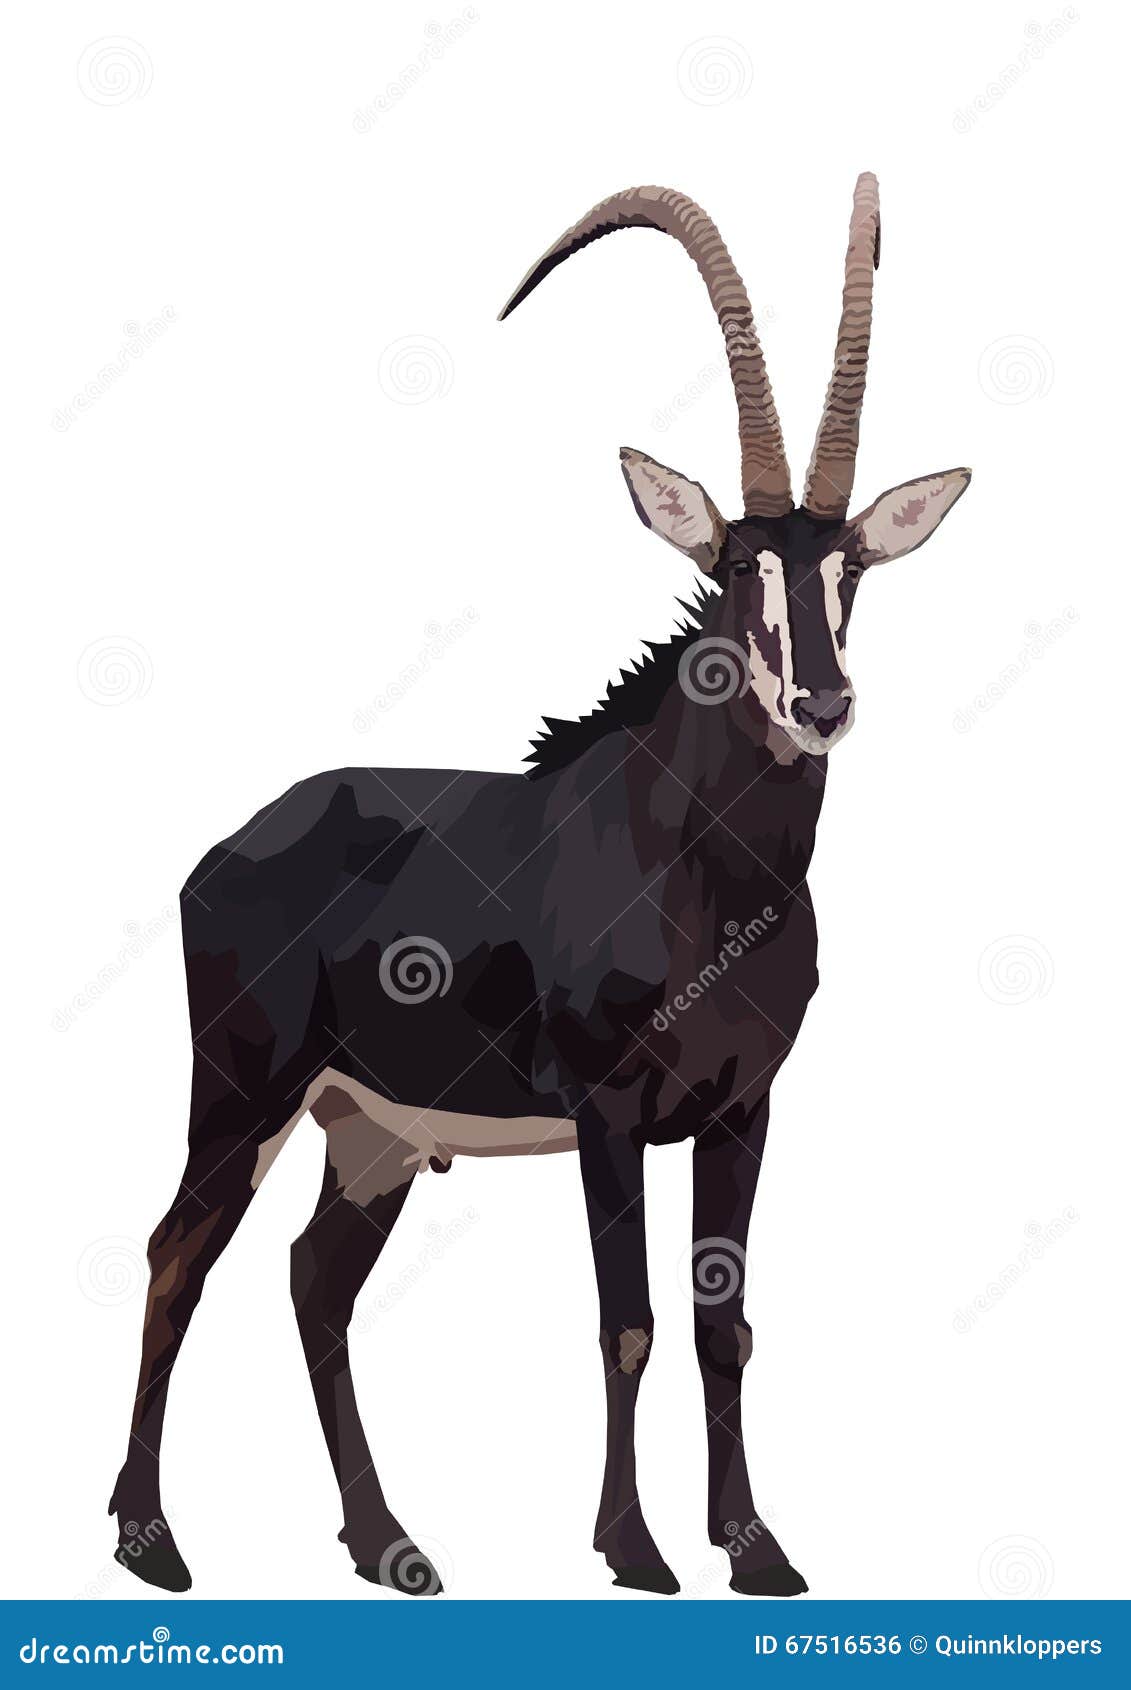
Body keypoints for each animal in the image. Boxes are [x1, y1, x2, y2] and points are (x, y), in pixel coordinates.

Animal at [112, 174, 969, 1598]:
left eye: (851, 567)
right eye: (735, 567)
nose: (822, 704)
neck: (703, 869)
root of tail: (226, 848)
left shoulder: (744, 1112)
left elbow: (723, 1324)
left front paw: (759, 1550)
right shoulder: (610, 1111)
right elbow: (627, 1322)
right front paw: (636, 1549)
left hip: (371, 1133)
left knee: (314, 1281)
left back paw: (388, 1542)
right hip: (245, 1091)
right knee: (178, 1249)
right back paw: (147, 1537)